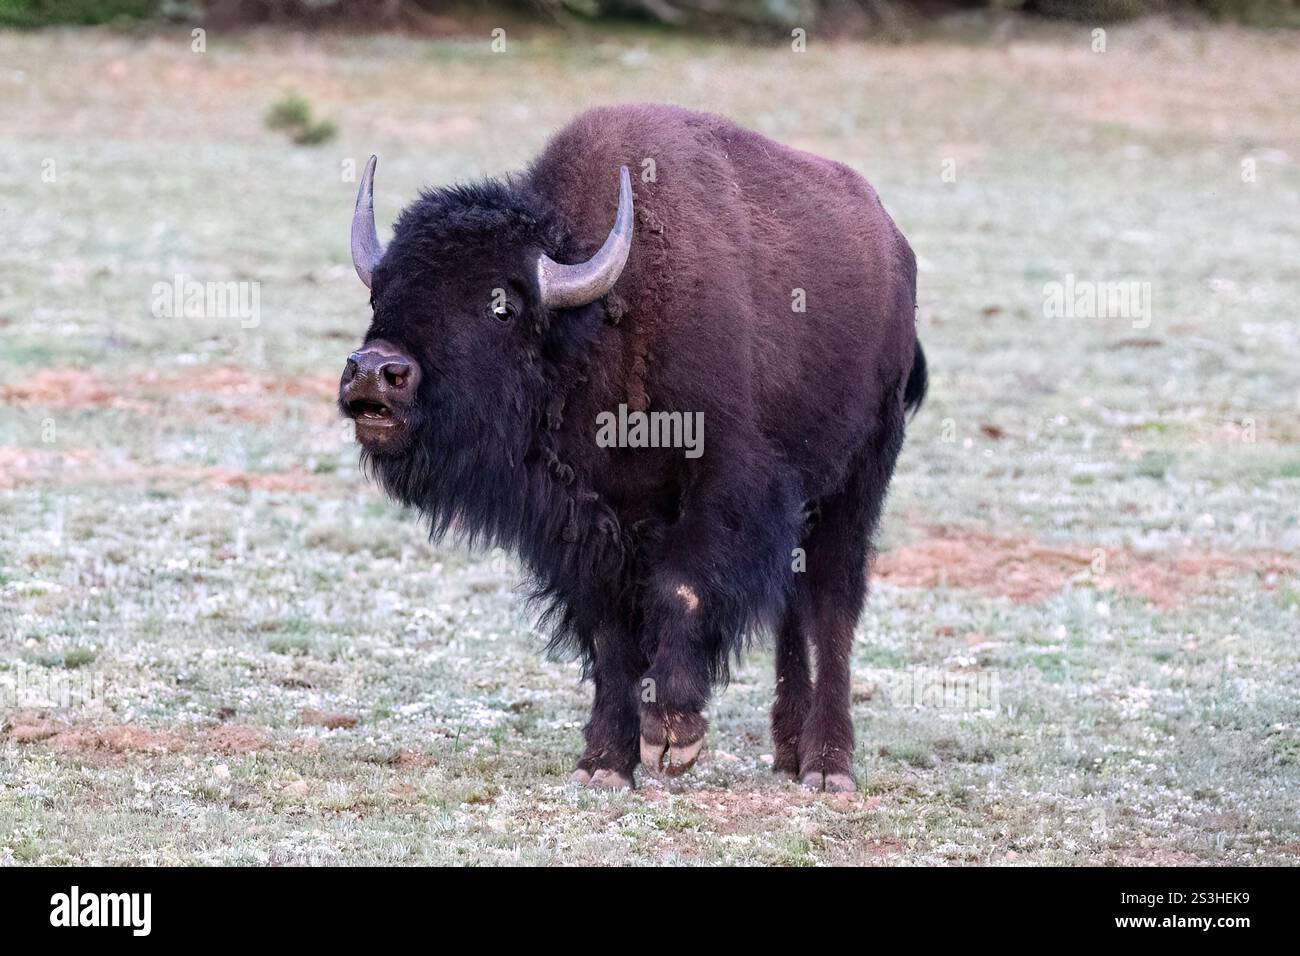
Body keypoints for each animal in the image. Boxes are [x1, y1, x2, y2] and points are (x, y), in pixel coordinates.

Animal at [339, 104, 926, 791]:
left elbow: (681, 587)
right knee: (793, 606)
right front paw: (604, 762)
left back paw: (828, 766)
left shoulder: (726, 485)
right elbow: (608, 631)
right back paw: (787, 749)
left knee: (831, 604)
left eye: (501, 305)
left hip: (857, 480)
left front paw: (673, 735)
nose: (374, 372)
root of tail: (893, 245)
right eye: (379, 293)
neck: (598, 324)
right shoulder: (590, 523)